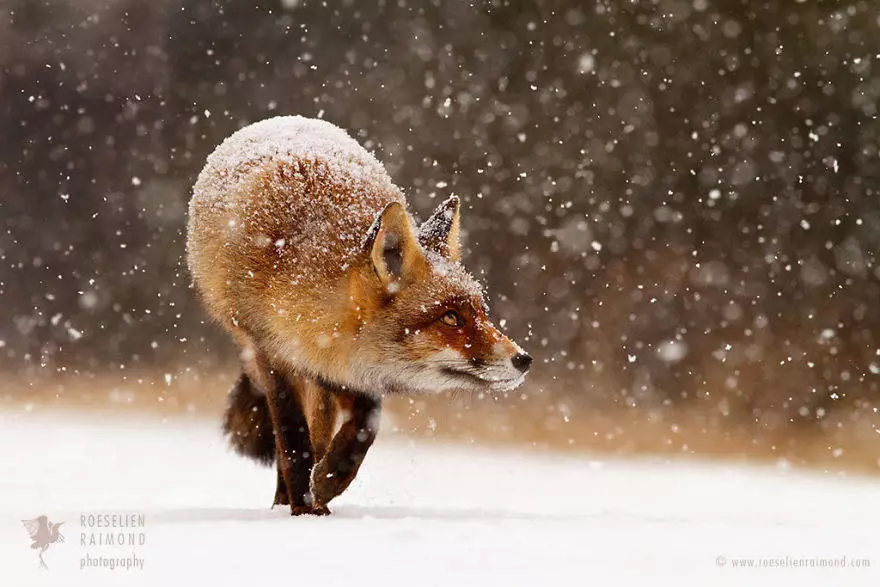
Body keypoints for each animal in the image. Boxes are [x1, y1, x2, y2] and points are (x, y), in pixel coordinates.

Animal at [186, 116, 528, 516]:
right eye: (450, 318)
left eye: (481, 312)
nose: (524, 359)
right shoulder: (271, 354)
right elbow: (292, 440)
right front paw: (303, 508)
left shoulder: (349, 370)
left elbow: (365, 426)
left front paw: (328, 482)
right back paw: (286, 502)